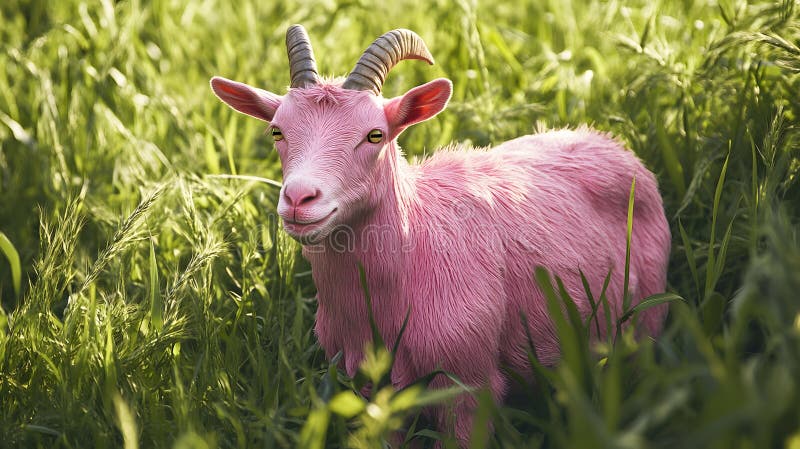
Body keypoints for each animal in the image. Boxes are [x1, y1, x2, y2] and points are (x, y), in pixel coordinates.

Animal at [211, 25, 670, 446]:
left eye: (375, 135)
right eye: (277, 131)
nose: (298, 198)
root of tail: (607, 141)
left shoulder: (467, 384)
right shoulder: (372, 385)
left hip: (645, 315)